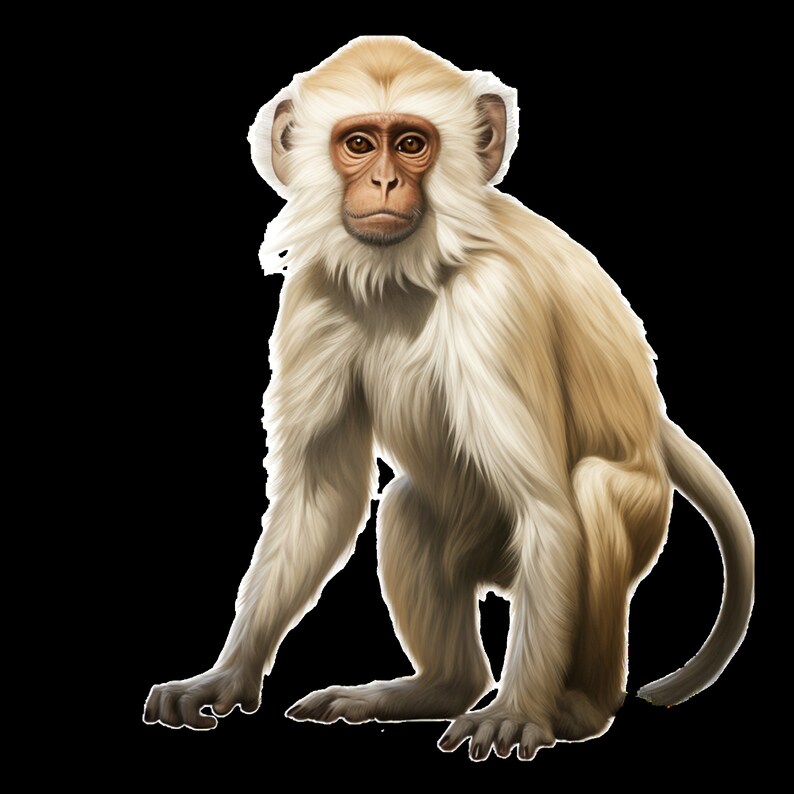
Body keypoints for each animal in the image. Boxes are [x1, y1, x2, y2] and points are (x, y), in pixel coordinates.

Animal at [143, 36, 754, 761]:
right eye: (358, 144)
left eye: (410, 144)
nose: (384, 183)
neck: (406, 270)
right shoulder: (315, 296)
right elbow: (324, 491)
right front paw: (227, 675)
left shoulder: (497, 304)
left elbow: (548, 508)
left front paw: (518, 711)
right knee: (408, 505)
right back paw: (437, 689)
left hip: (636, 516)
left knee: (595, 489)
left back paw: (578, 706)